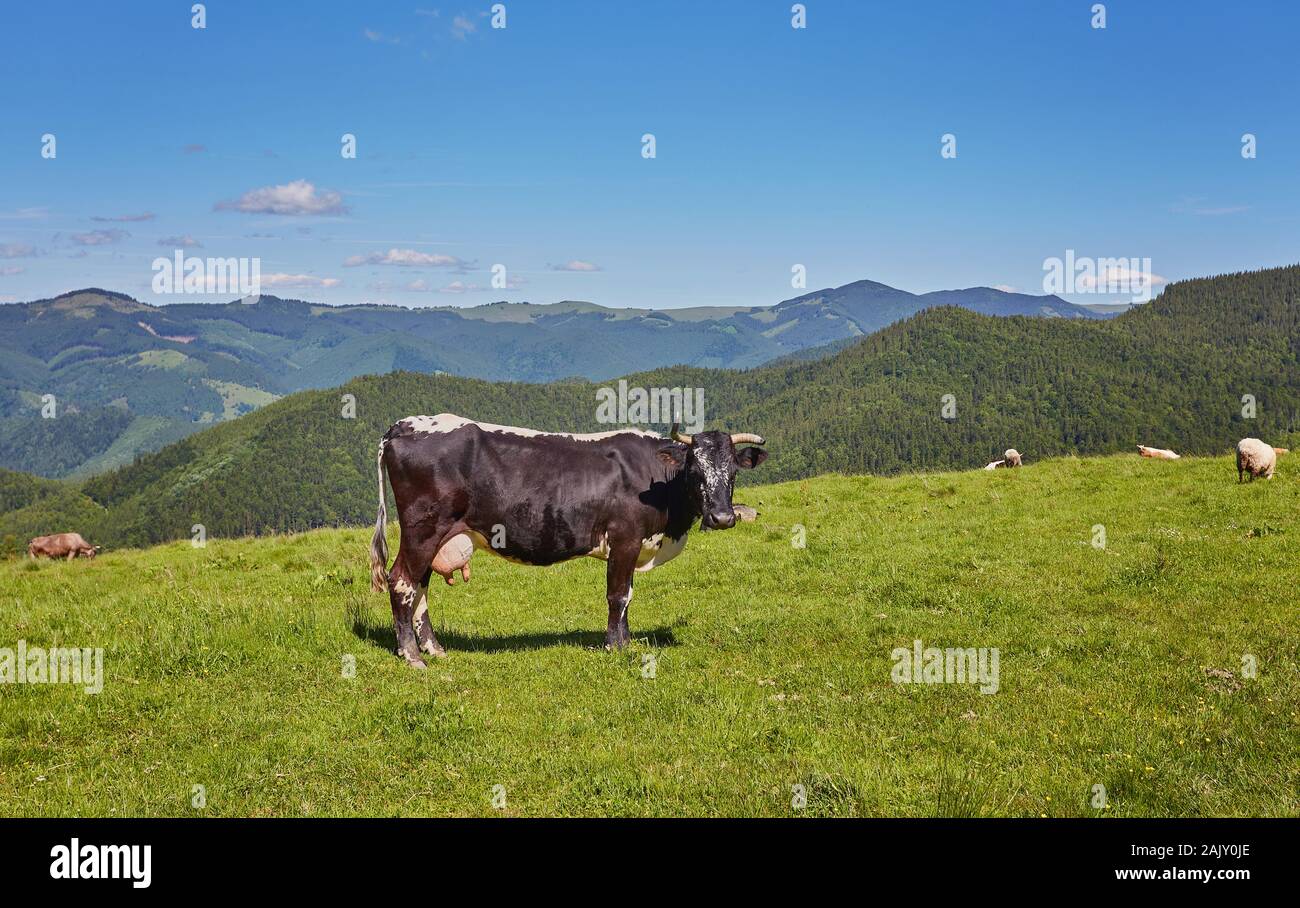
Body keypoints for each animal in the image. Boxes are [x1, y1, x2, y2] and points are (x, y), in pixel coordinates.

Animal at [368, 413, 768, 667]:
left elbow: (628, 595)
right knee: (402, 580)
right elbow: (618, 595)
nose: (722, 518)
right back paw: (412, 657)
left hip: (434, 536)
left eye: (733, 471)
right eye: (695, 470)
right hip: (423, 529)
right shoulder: (625, 537)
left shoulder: (634, 543)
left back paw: (434, 649)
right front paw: (615, 648)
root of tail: (405, 425)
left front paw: (626, 641)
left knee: (420, 584)